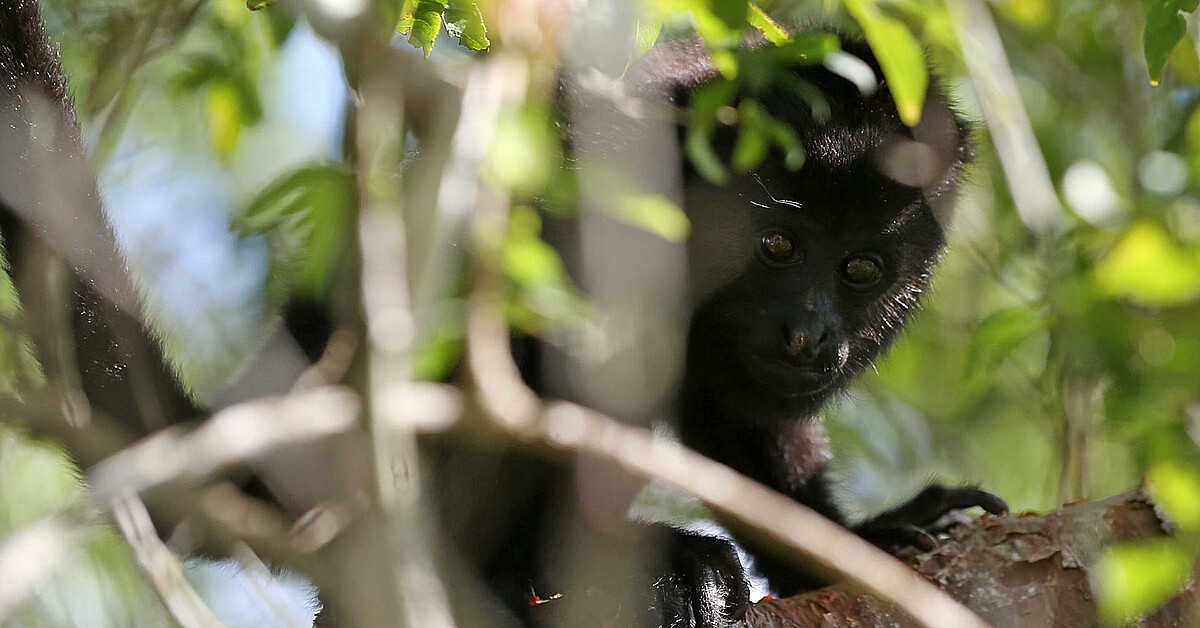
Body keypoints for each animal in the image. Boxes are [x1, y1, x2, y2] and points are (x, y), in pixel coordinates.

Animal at [0, 3, 1005, 627]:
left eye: (864, 268)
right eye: (780, 249)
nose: (813, 335)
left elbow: (743, 427)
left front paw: (865, 543)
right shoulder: (603, 181)